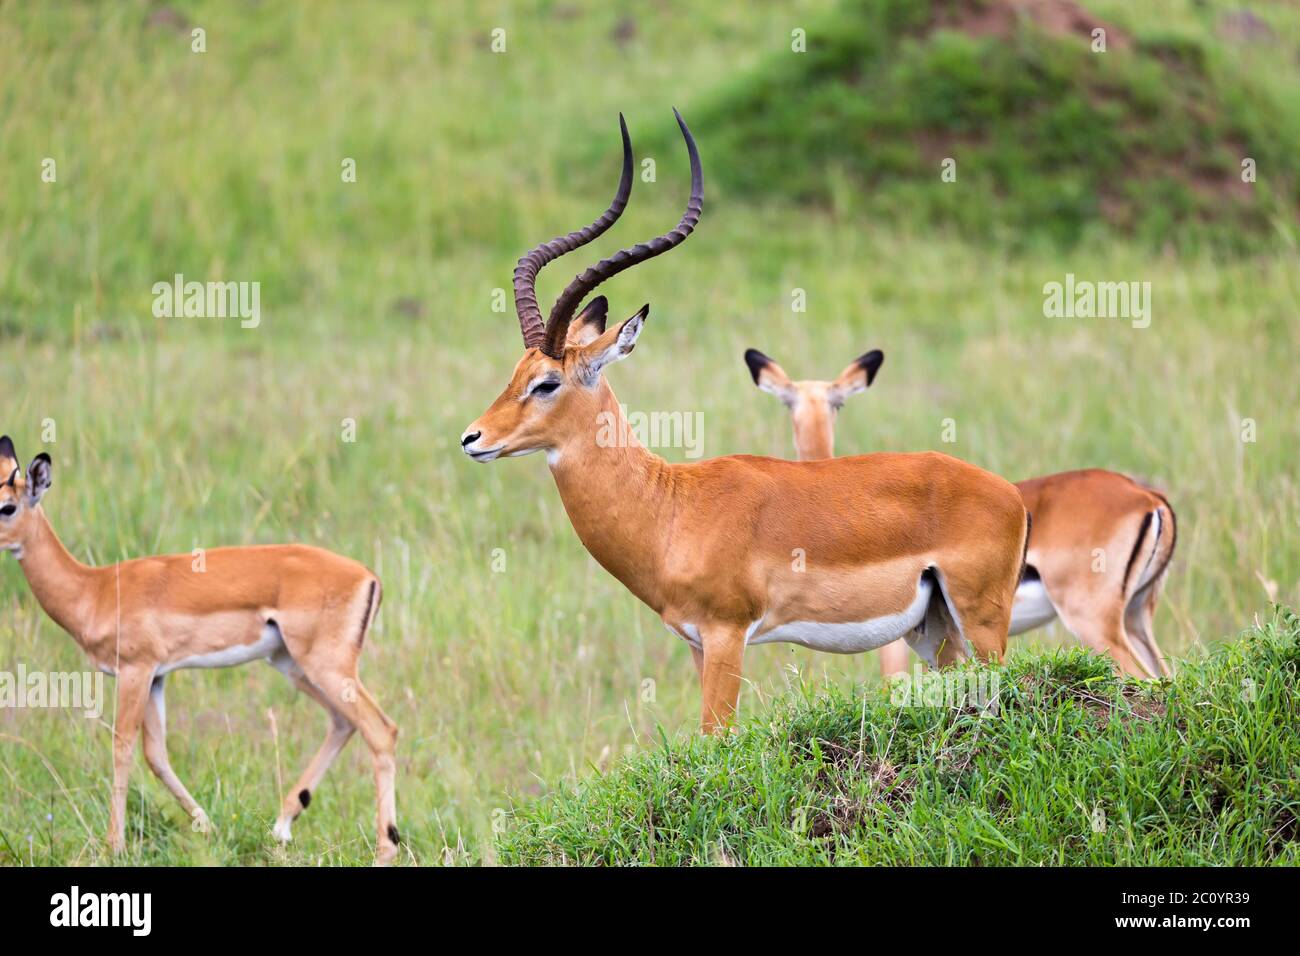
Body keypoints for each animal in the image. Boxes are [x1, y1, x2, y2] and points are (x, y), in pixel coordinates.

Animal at [0, 437, 401, 864]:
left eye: (8, 506)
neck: (95, 589)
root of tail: (368, 576)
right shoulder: (157, 677)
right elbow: (156, 754)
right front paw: (207, 827)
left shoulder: (136, 670)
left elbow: (122, 746)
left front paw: (114, 846)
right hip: (293, 666)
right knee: (344, 722)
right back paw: (281, 827)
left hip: (326, 666)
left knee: (381, 729)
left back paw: (384, 849)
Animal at [460, 112, 1031, 733]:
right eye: (515, 372)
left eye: (547, 383)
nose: (473, 438)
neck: (672, 508)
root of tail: (1011, 495)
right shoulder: (693, 640)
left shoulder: (726, 634)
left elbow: (716, 736)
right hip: (935, 631)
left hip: (982, 620)